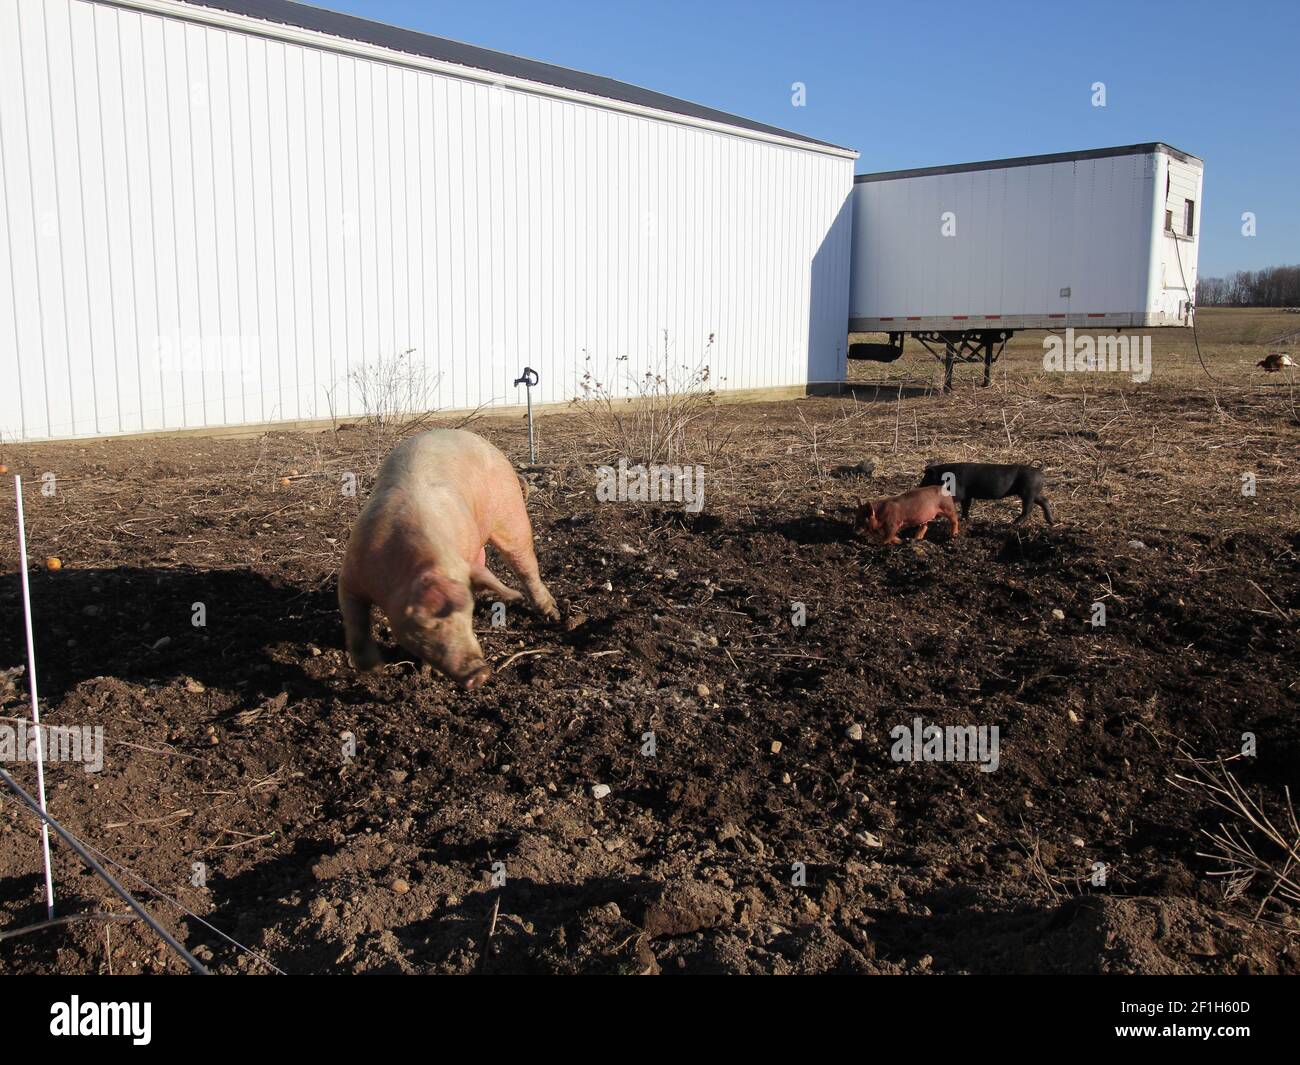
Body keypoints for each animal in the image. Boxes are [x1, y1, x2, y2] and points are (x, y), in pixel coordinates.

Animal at [338, 429, 559, 689]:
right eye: (421, 623)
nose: (479, 673)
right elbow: (355, 621)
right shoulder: (351, 575)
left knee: (525, 565)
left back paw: (554, 614)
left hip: (511, 514)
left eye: (468, 613)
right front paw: (373, 669)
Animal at [918, 462, 1055, 525]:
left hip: (1028, 492)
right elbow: (966, 507)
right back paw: (1051, 522)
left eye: (926, 478)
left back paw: (1014, 523)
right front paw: (964, 519)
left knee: (1028, 509)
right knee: (1044, 501)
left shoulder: (959, 493)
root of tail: (1038, 469)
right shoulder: (968, 496)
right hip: (1033, 493)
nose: (918, 487)